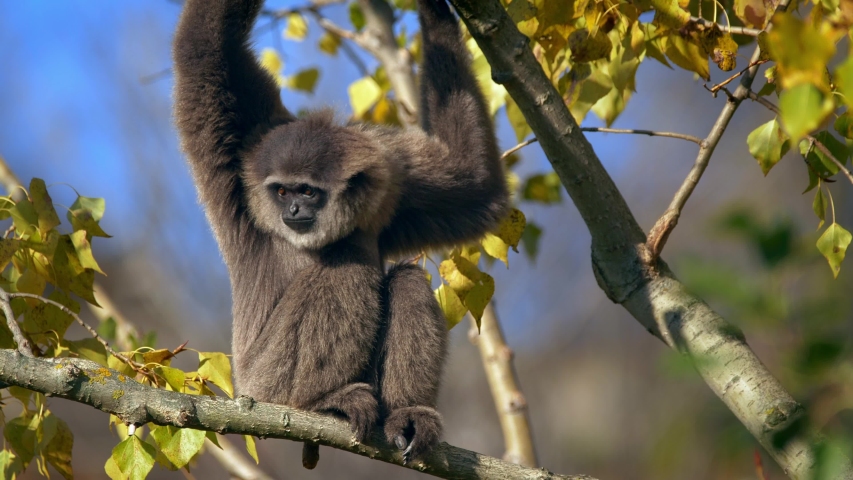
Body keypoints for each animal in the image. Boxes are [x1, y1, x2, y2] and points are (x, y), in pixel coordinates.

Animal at [172, 0, 508, 465]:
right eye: (281, 190)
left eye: (308, 191)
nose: (293, 209)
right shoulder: (241, 159)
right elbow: (201, 49)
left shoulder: (392, 177)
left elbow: (476, 183)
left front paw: (437, 9)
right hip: (265, 383)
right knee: (346, 267)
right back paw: (321, 402)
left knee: (405, 278)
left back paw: (407, 414)